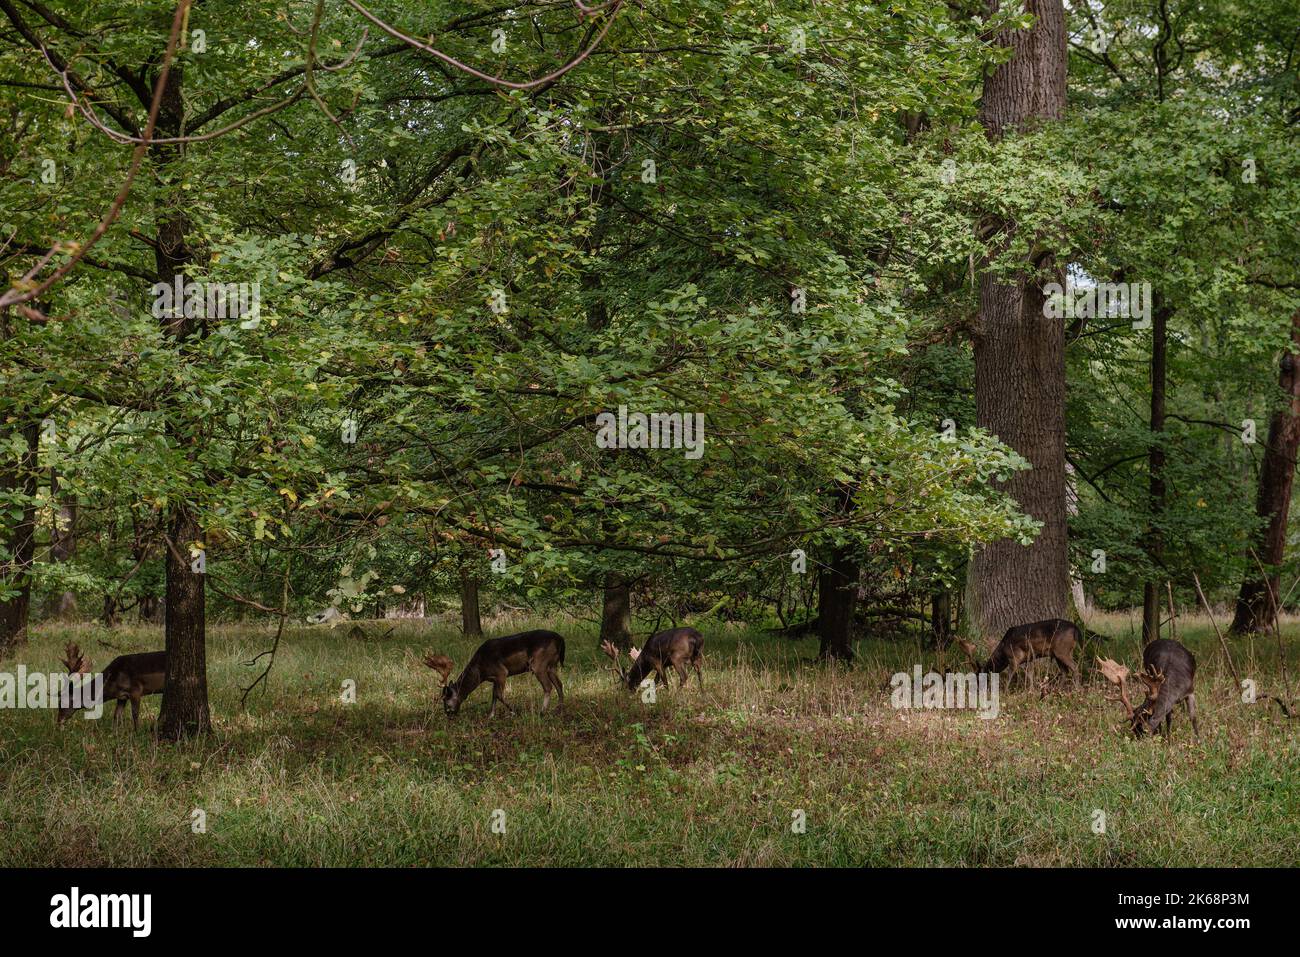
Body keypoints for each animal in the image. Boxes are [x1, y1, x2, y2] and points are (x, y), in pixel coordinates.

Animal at [424, 629, 565, 717]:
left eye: (445, 699)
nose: (448, 714)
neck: (480, 672)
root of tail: (560, 639)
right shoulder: (494, 678)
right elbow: (494, 695)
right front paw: (491, 715)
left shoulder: (502, 672)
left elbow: (499, 695)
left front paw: (514, 711)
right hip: (552, 666)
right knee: (559, 685)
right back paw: (558, 709)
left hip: (539, 664)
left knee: (548, 686)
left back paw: (542, 711)